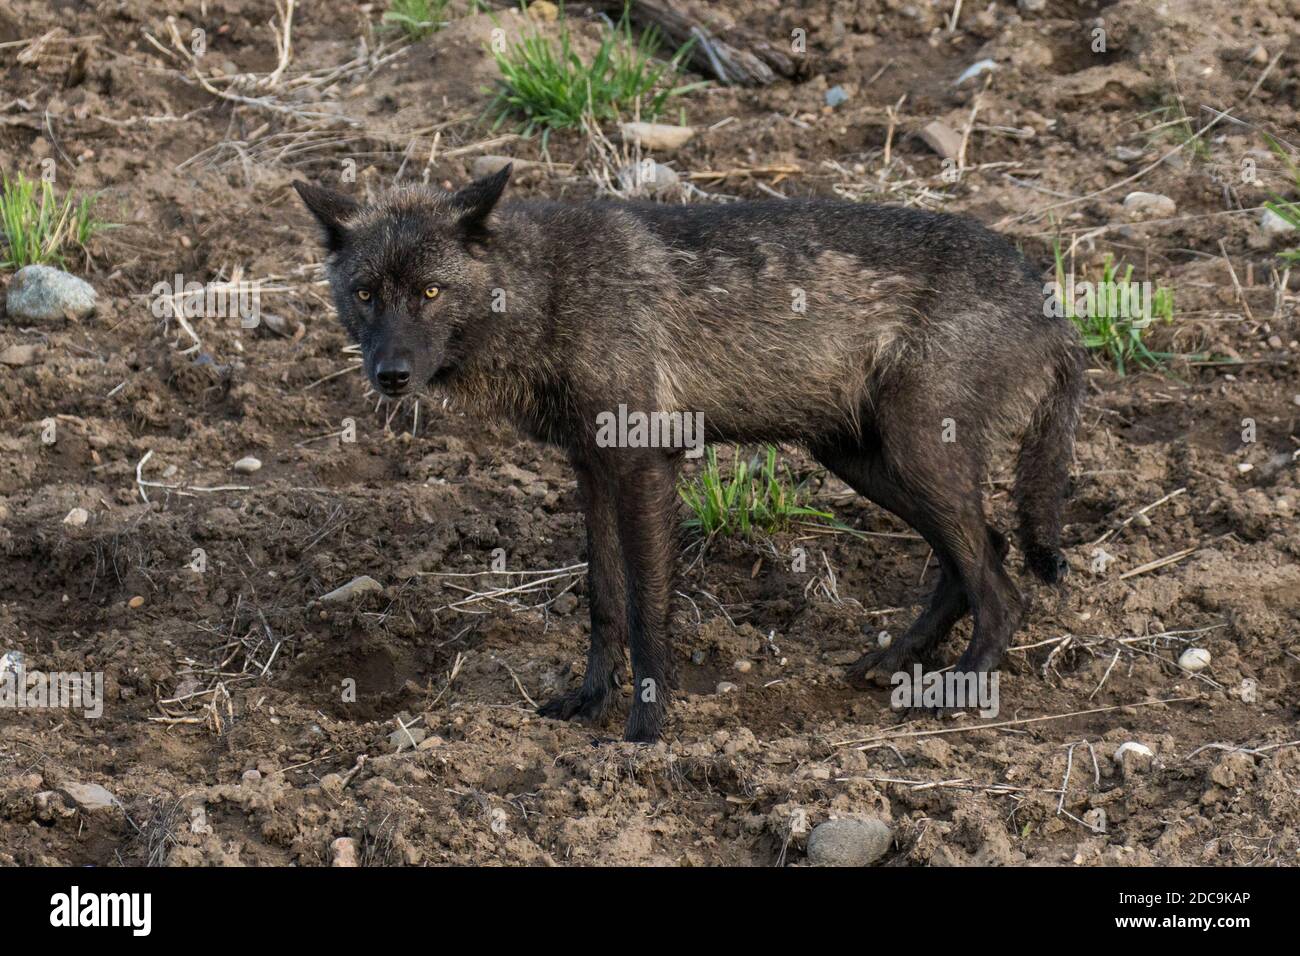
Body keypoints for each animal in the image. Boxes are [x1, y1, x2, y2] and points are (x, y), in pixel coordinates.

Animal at [294, 166, 1084, 743]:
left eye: (430, 291)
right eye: (365, 294)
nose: (390, 375)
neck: (549, 291)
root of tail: (1049, 298)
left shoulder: (646, 466)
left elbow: (648, 611)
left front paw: (645, 728)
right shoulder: (592, 470)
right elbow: (604, 600)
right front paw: (588, 701)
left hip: (914, 458)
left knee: (1003, 586)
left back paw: (960, 688)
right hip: (864, 461)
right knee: (981, 553)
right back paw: (894, 660)